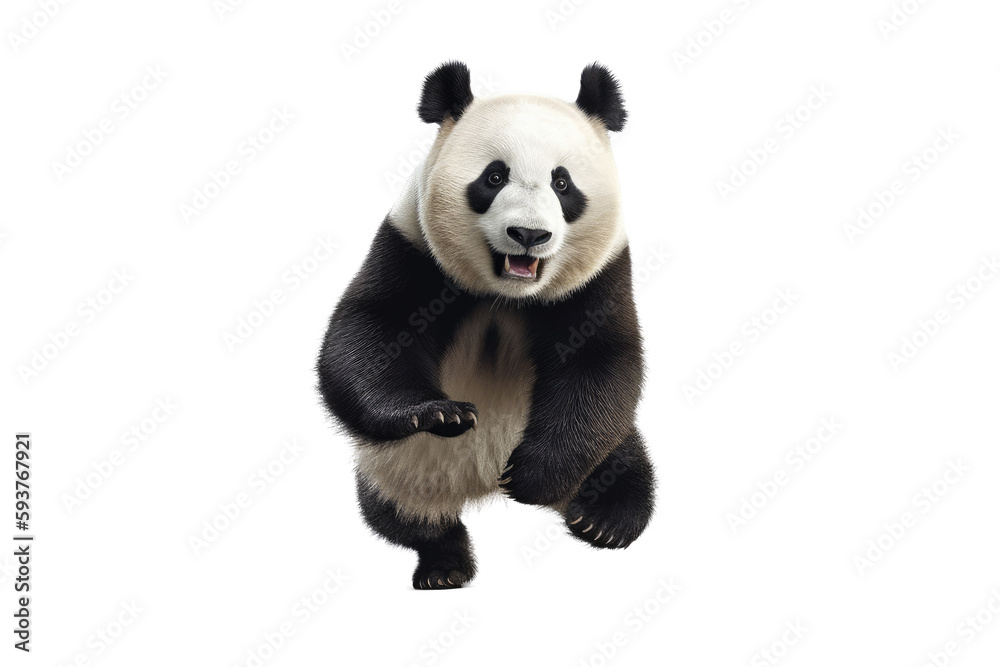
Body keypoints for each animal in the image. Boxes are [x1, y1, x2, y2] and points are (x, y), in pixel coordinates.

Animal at [317, 61, 655, 590]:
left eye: (562, 184)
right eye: (494, 176)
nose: (528, 235)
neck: (507, 296)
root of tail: (476, 482)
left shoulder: (600, 277)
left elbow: (600, 362)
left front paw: (533, 477)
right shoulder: (412, 246)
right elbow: (370, 332)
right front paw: (439, 414)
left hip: (608, 444)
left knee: (623, 457)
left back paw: (605, 517)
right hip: (394, 464)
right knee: (399, 515)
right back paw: (444, 564)